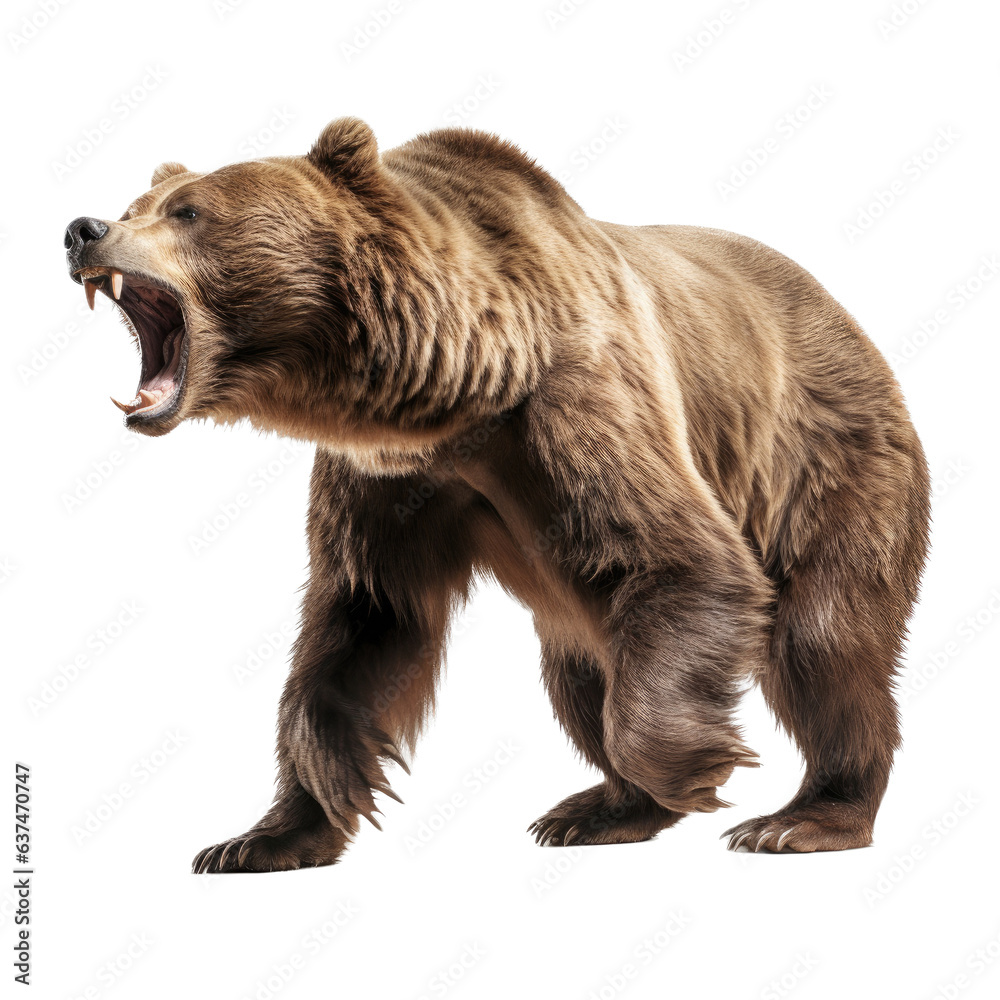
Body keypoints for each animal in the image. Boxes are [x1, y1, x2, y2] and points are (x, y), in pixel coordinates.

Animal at [63, 117, 930, 871]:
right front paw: (269, 832)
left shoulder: (577, 398)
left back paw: (801, 819)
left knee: (823, 647)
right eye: (137, 204)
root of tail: (847, 318)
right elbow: (361, 625)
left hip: (830, 465)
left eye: (188, 211)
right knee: (580, 674)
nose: (82, 229)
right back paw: (599, 811)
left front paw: (695, 768)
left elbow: (684, 559)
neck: (462, 391)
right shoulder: (388, 478)